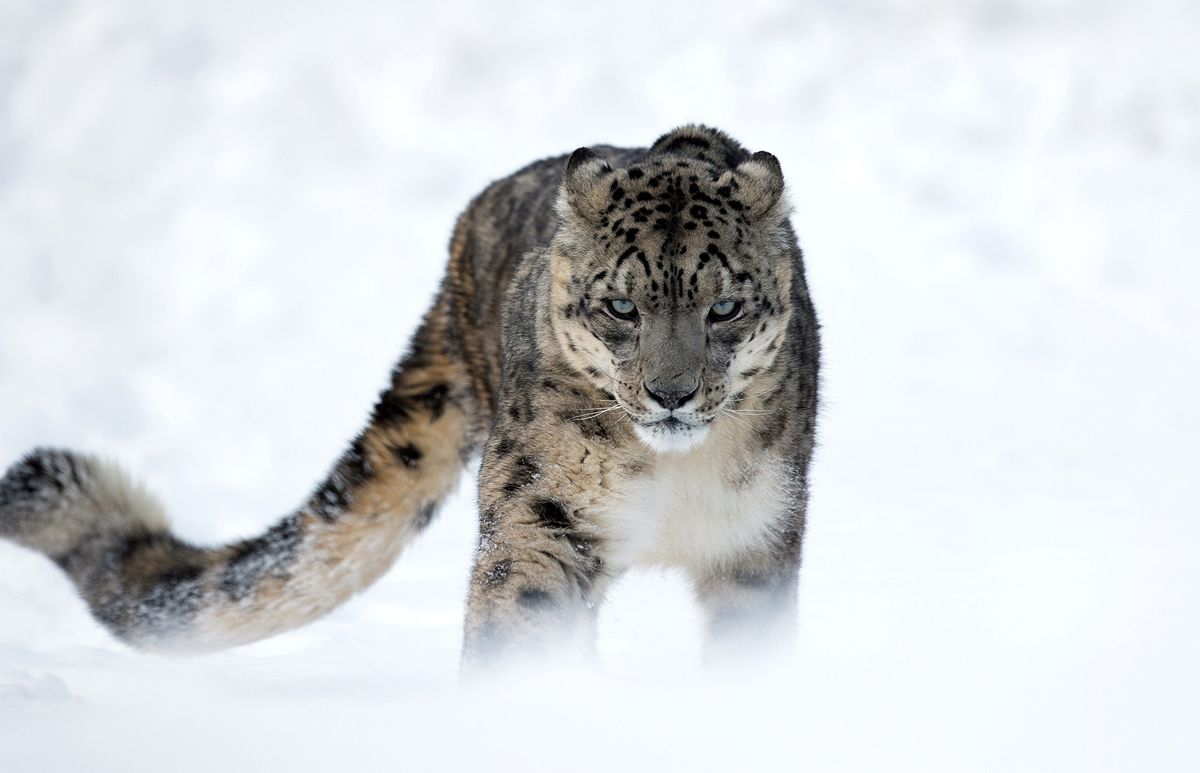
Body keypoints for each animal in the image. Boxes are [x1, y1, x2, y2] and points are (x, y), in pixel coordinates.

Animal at [0, 125, 820, 666]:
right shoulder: (540, 514)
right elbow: (522, 623)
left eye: (724, 308)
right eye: (621, 306)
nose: (670, 393)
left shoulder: (756, 542)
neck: (673, 478)